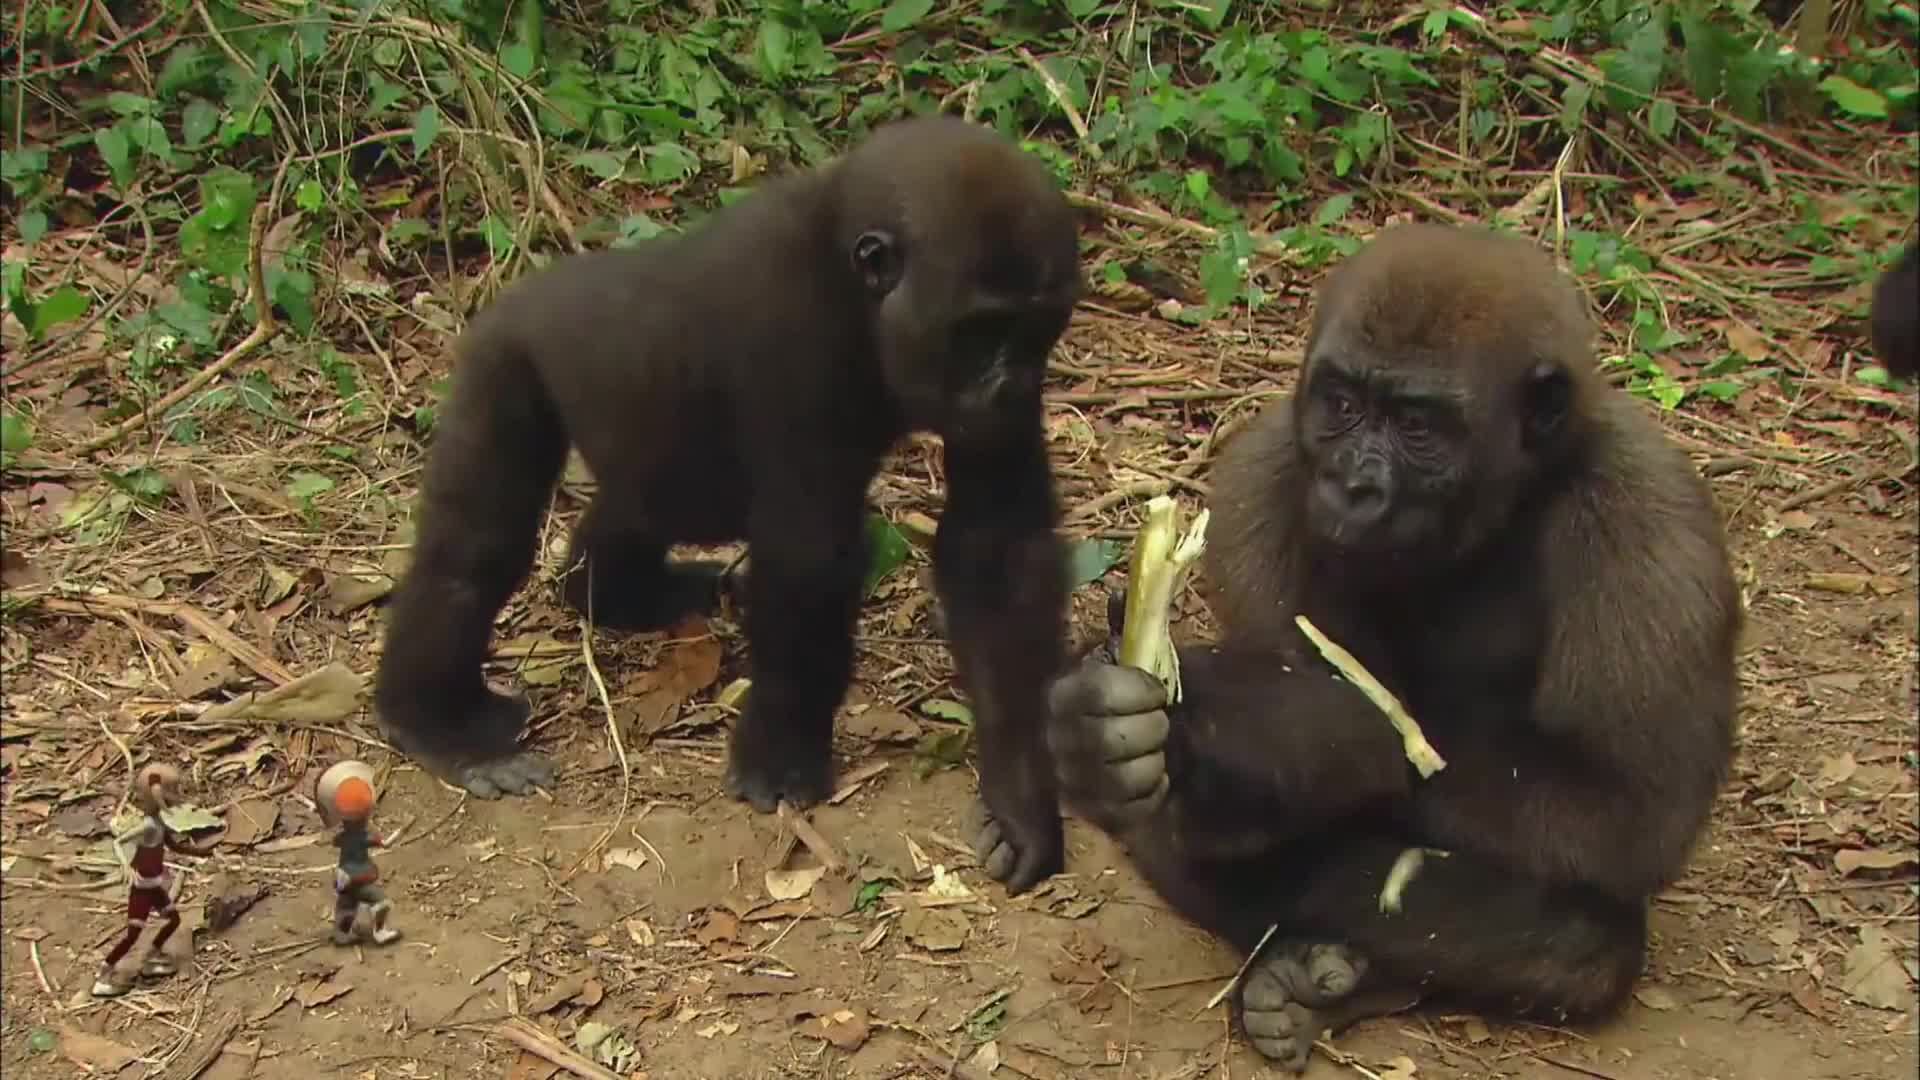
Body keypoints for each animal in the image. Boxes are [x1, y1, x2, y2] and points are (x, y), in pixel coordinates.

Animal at [374, 114, 1081, 894]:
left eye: (1036, 330)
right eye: (980, 331)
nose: (1009, 388)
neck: (852, 277)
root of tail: (523, 289)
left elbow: (997, 544)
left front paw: (1018, 797)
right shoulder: (797, 336)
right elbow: (810, 554)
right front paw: (783, 752)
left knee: (642, 501)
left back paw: (614, 593)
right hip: (504, 357)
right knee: (475, 551)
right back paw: (431, 721)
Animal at [1043, 223, 1742, 1070]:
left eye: (1418, 426)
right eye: (1342, 407)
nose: (1352, 486)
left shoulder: (1651, 526)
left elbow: (1628, 812)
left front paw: (1288, 729)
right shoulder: (1266, 472)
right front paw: (1101, 728)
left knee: (1583, 939)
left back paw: (1333, 985)